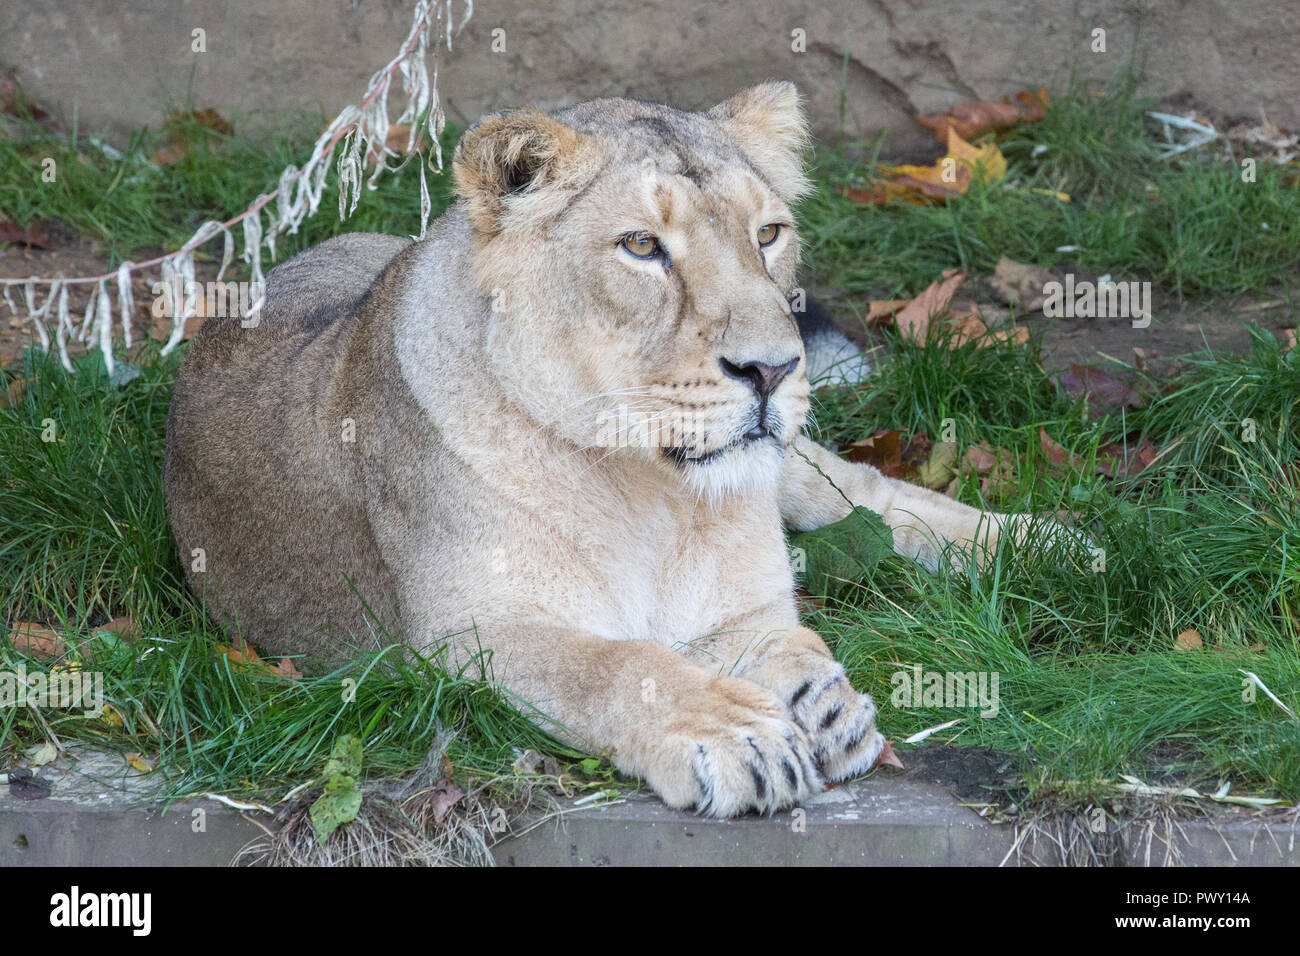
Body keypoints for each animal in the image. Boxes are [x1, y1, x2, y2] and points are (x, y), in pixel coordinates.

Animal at [165, 82, 1069, 817]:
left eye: (769, 233)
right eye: (642, 247)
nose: (773, 369)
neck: (657, 499)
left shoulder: (735, 602)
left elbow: (785, 635)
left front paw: (824, 705)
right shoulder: (460, 635)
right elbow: (616, 664)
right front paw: (740, 737)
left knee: (867, 490)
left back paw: (1054, 547)